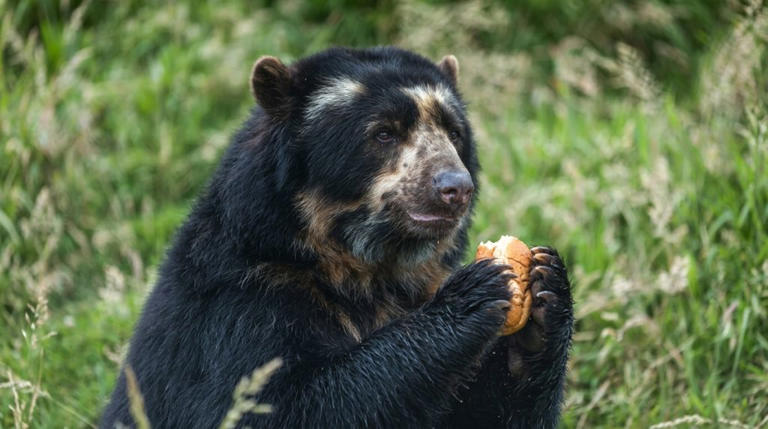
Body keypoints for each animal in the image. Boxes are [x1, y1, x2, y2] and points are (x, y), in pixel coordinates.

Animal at [100, 46, 574, 429]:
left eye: (454, 133)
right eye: (384, 133)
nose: (455, 188)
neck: (362, 268)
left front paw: (547, 291)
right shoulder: (241, 306)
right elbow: (277, 406)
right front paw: (474, 292)